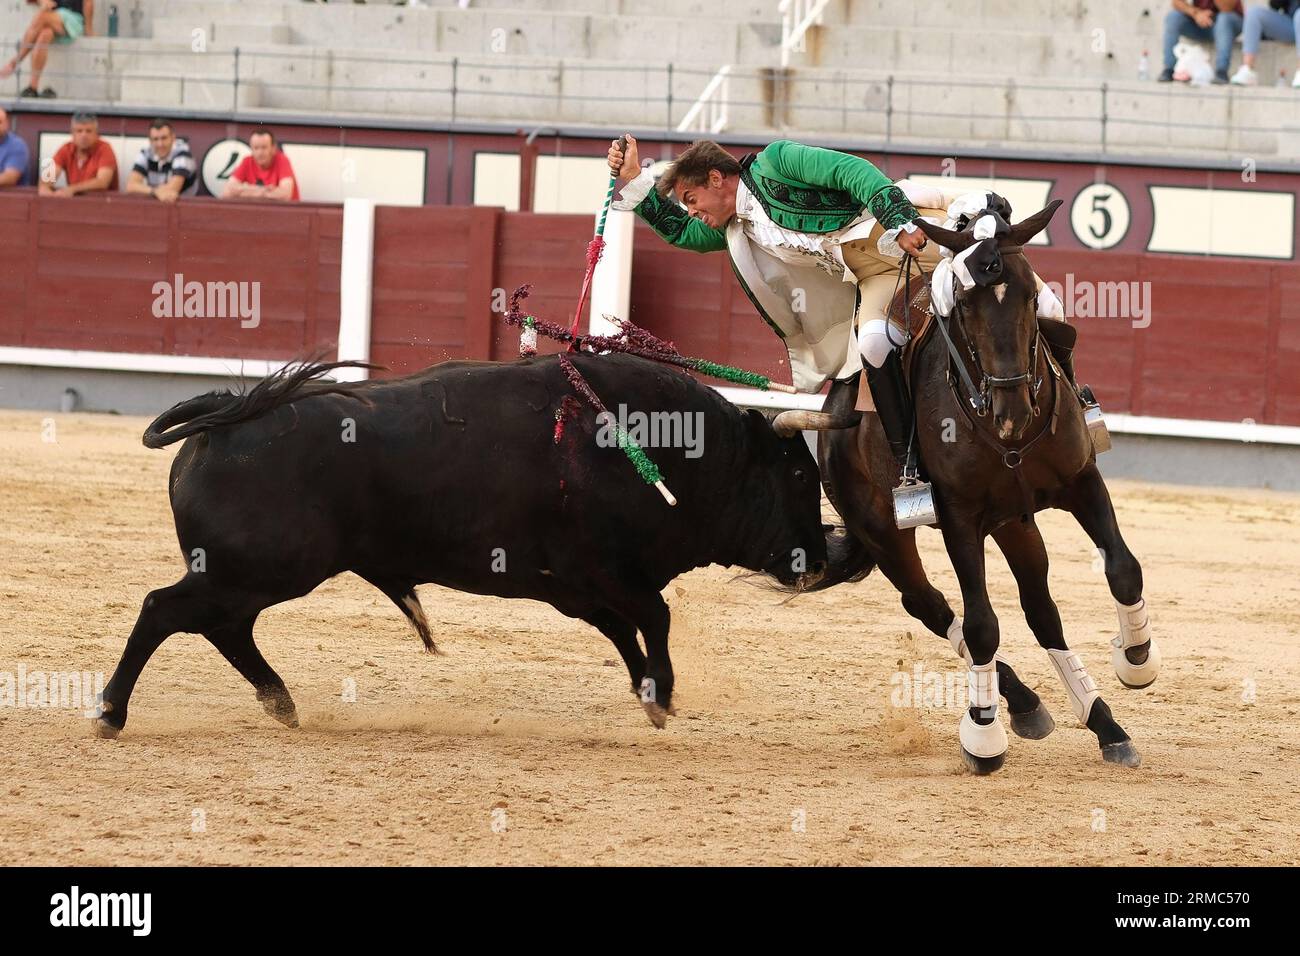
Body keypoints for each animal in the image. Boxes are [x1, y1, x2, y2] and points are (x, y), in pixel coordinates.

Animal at [94, 353, 827, 737]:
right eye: (798, 476)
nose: (819, 564)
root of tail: (223, 418)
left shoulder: (573, 587)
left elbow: (626, 628)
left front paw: (648, 693)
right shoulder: (601, 570)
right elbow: (655, 615)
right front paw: (663, 695)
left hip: (252, 574)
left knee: (225, 628)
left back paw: (281, 703)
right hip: (259, 569)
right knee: (165, 610)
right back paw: (111, 712)